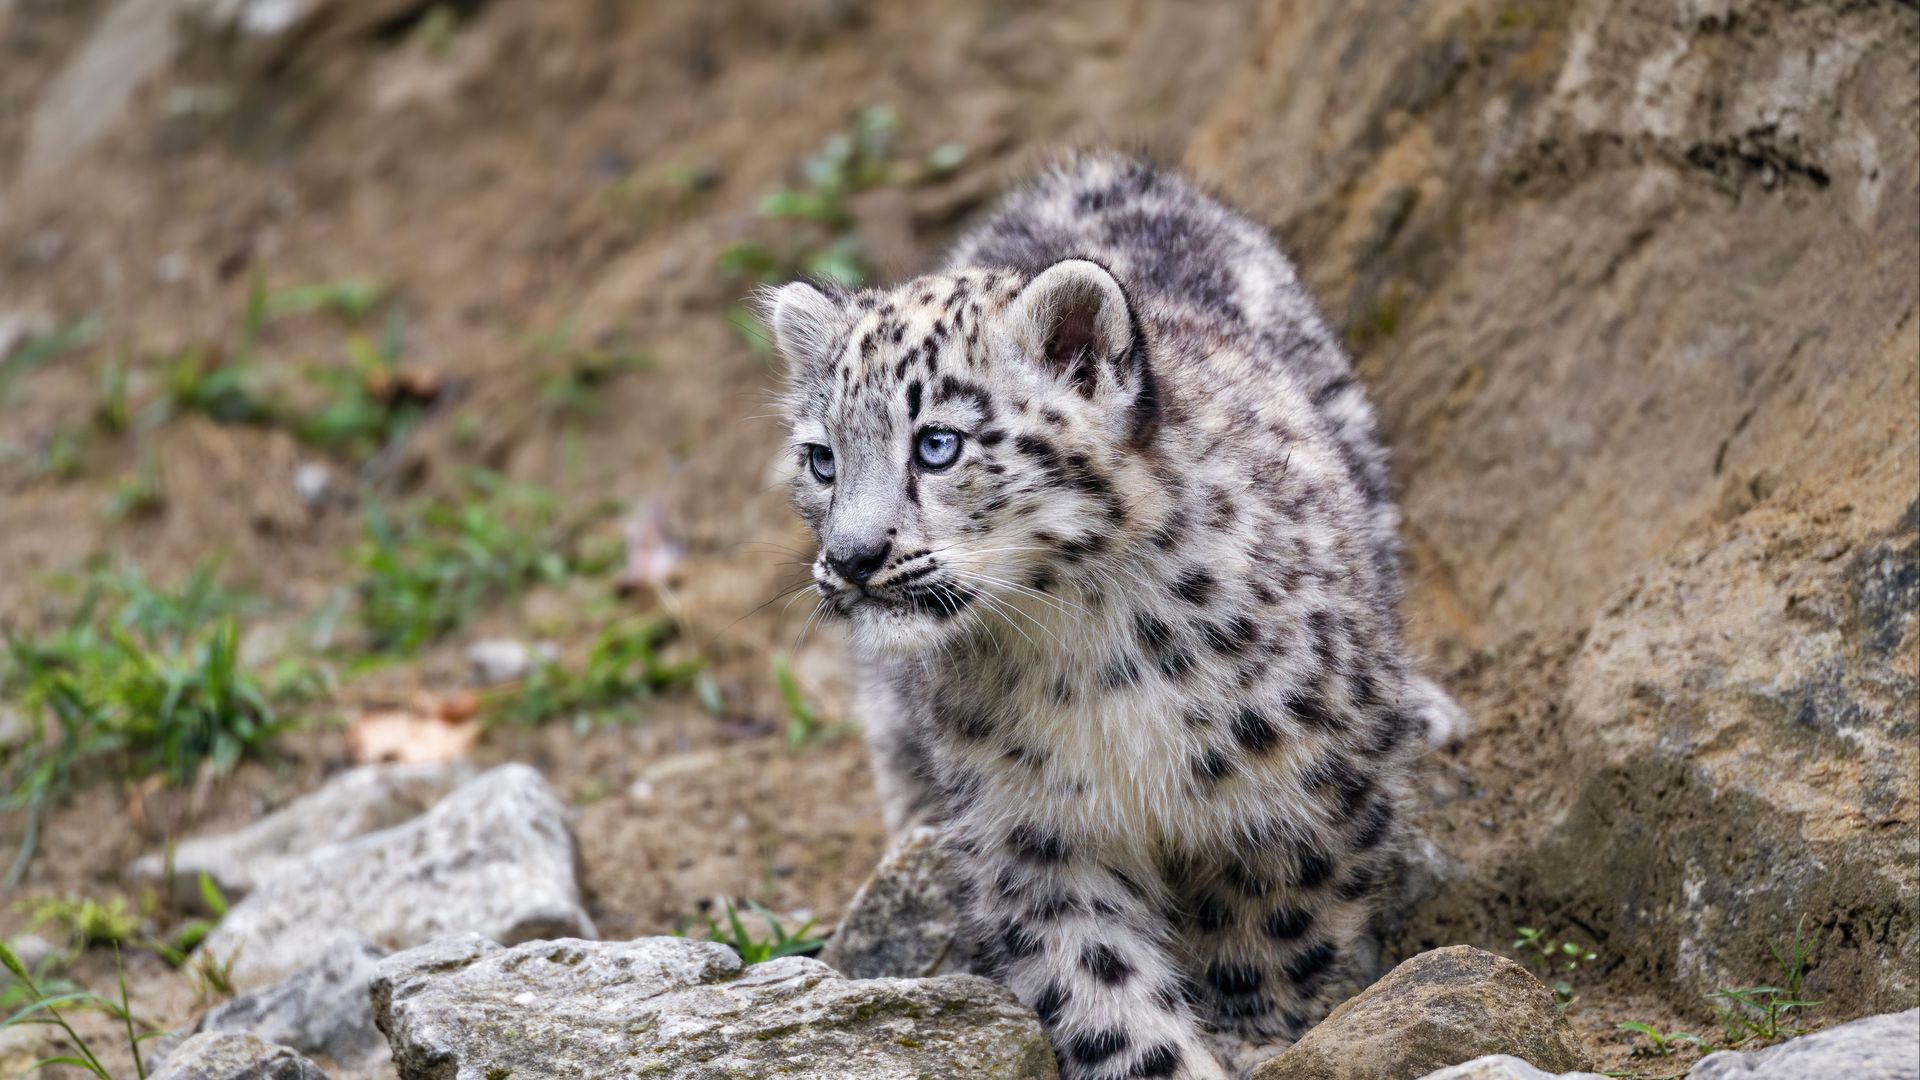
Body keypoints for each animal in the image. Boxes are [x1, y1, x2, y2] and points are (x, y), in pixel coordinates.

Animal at [765, 151, 1467, 1080]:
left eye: (938, 444)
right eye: (822, 460)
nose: (851, 557)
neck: (1079, 646)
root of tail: (1099, 168)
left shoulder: (1309, 782)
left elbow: (1279, 917)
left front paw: (1250, 1031)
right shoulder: (1034, 832)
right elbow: (1100, 985)